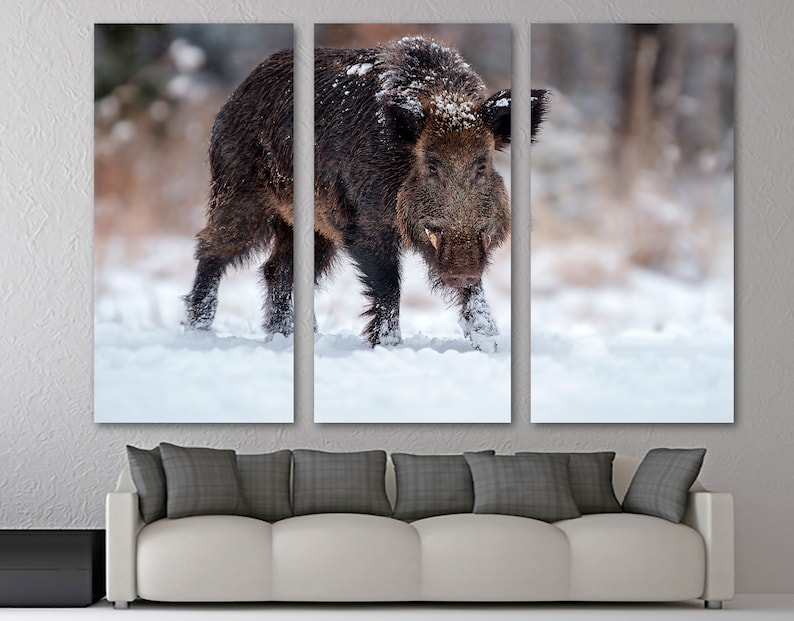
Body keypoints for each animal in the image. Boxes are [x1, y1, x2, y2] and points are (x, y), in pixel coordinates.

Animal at [184, 36, 549, 350]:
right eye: (431, 165)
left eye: (482, 164)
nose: (462, 269)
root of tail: (234, 96)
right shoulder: (366, 224)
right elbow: (389, 286)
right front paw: (388, 346)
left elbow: (474, 292)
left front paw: (489, 345)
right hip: (239, 194)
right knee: (211, 249)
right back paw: (197, 330)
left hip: (312, 228)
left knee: (278, 270)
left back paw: (286, 338)